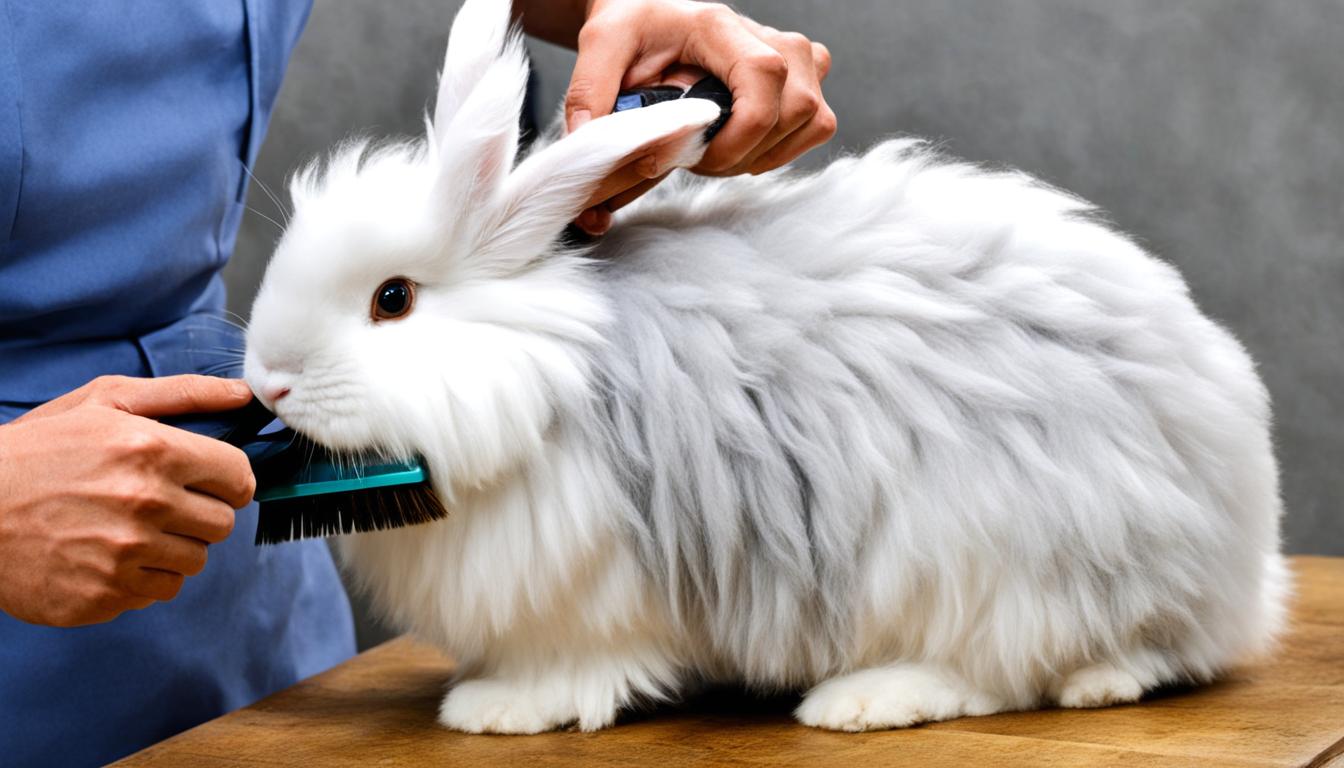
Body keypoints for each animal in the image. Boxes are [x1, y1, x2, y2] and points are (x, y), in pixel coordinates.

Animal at [243, 0, 1286, 734]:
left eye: (393, 300)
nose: (268, 382)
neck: (541, 360)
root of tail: (1237, 553)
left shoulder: (587, 588)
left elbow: (572, 664)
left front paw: (496, 711)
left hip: (988, 558)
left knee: (1012, 667)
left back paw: (875, 700)